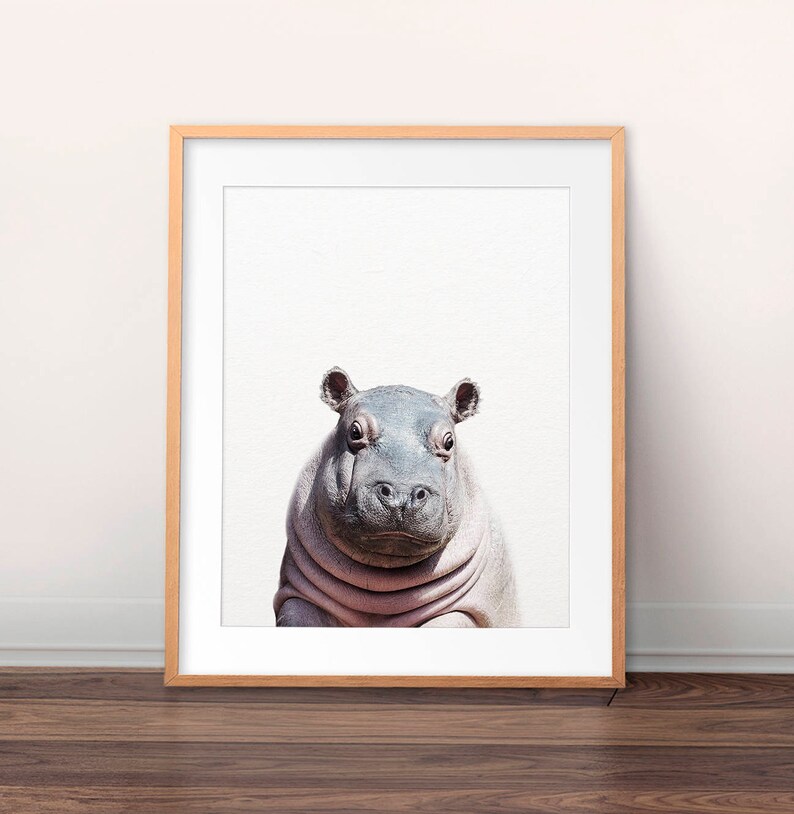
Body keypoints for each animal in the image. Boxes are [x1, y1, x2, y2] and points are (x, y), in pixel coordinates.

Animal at [273, 368, 520, 627]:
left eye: (449, 441)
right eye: (355, 431)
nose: (402, 495)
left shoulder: (468, 610)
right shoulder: (296, 596)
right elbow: (296, 615)